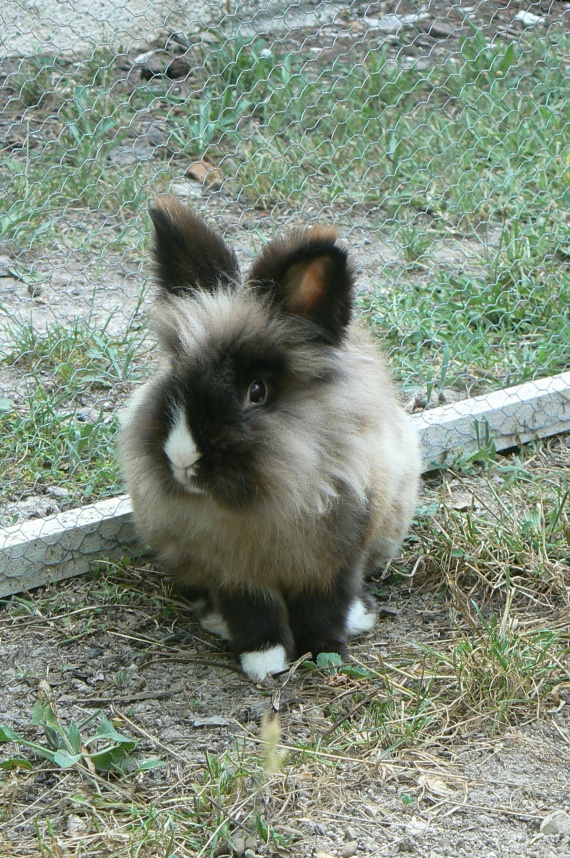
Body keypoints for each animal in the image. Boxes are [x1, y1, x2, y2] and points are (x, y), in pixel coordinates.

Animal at [119, 197, 421, 682]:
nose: (183, 460)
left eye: (256, 392)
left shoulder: (335, 557)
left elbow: (325, 606)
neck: (266, 503)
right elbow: (253, 611)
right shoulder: (232, 571)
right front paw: (264, 662)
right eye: (173, 376)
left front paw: (326, 653)